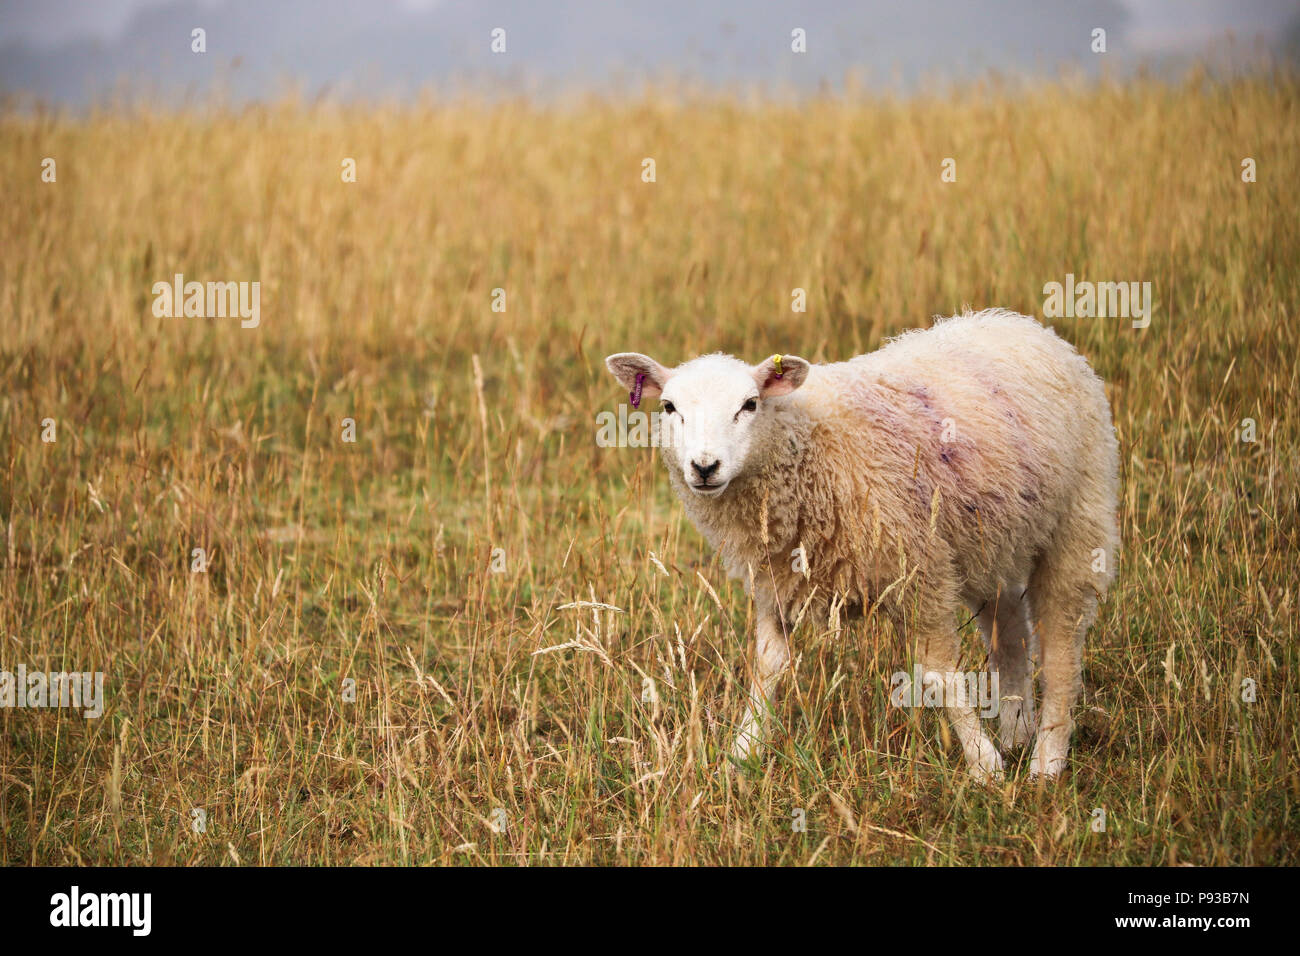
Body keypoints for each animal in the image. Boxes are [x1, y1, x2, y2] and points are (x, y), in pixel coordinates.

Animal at [605, 309, 1120, 782]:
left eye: (749, 404)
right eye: (669, 407)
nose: (704, 467)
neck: (806, 447)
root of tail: (1024, 325)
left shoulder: (921, 569)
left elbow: (941, 676)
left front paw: (983, 765)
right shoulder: (777, 579)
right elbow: (768, 668)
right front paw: (741, 754)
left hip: (1079, 518)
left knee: (1062, 646)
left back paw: (1046, 759)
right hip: (989, 535)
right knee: (1009, 627)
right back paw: (1015, 730)